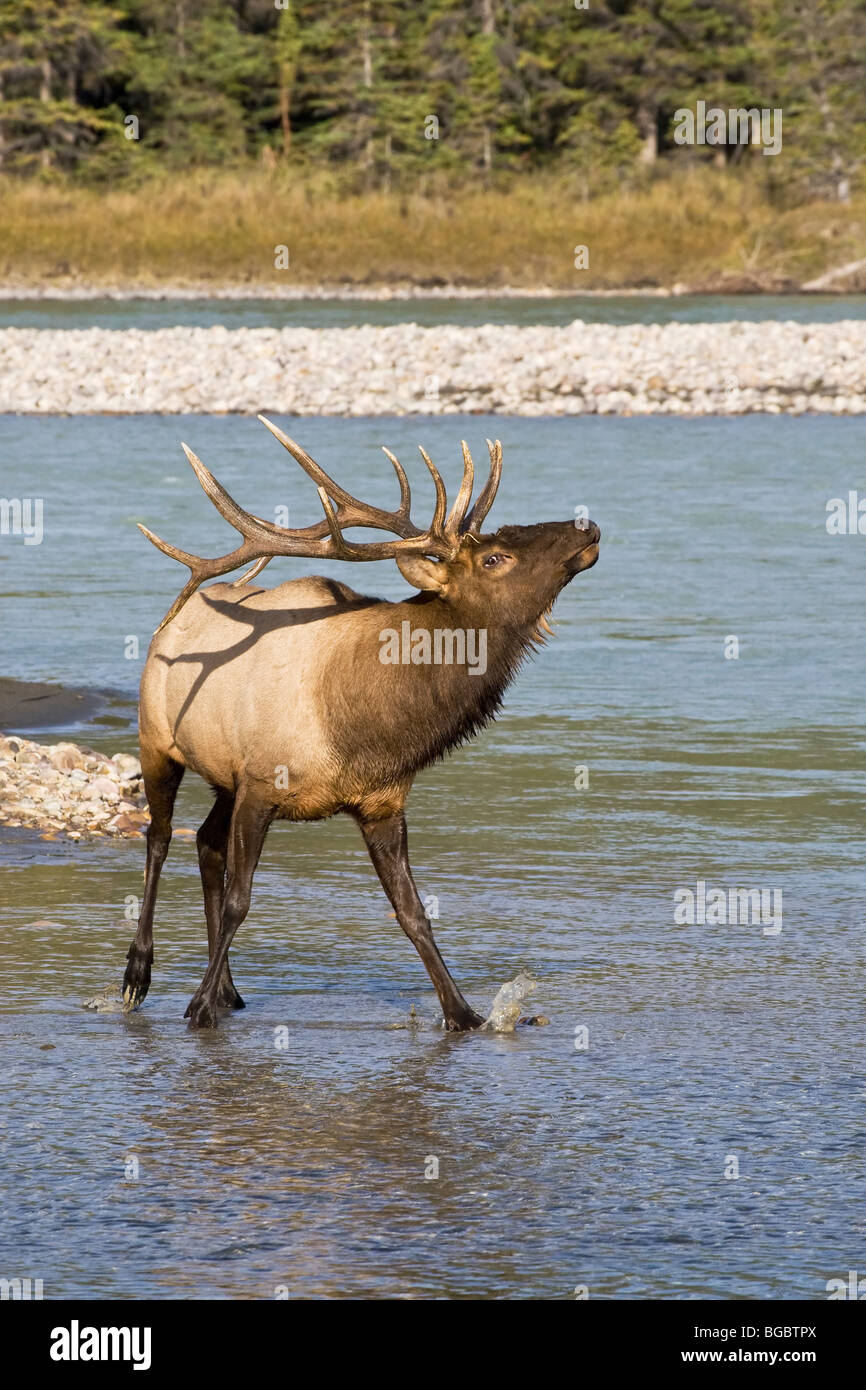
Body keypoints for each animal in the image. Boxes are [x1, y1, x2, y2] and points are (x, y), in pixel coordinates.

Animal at [122, 416, 600, 1030]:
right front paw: (197, 1007)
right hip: (157, 740)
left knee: (205, 842)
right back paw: (139, 973)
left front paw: (462, 1013)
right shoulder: (262, 784)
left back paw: (228, 987)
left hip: (222, 774)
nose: (587, 525)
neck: (366, 731)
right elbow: (240, 901)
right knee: (158, 838)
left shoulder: (381, 803)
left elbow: (413, 912)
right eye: (495, 558)